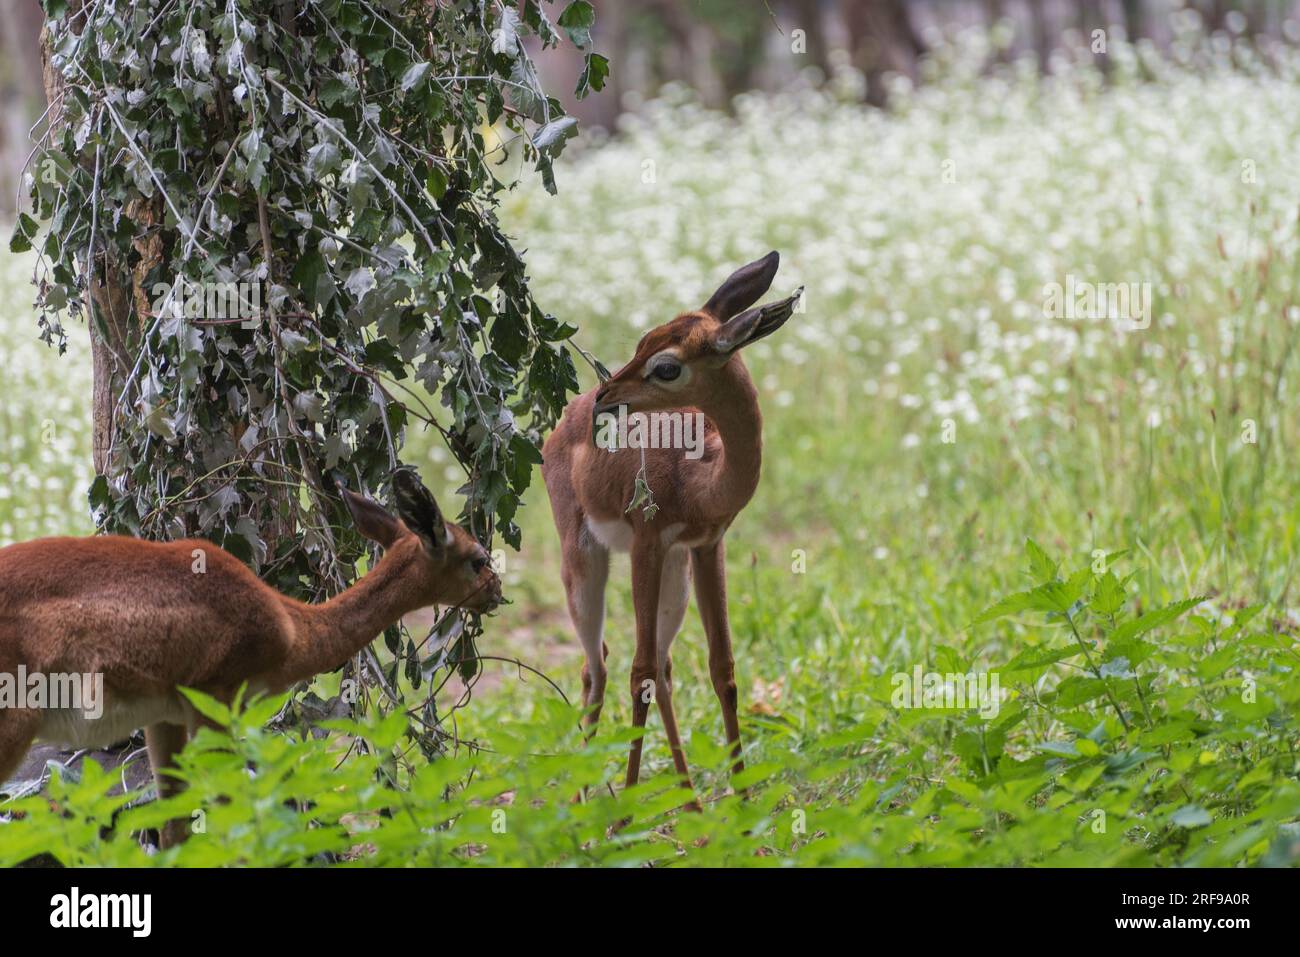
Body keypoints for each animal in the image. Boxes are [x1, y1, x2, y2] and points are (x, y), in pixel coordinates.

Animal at [0, 469, 500, 846]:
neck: (291, 630)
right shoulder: (217, 695)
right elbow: (230, 812)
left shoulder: (163, 714)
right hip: (16, 718)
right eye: (478, 558)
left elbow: (174, 825)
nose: (497, 593)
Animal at [542, 251, 801, 796]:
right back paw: (584, 798)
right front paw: (624, 810)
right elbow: (636, 669)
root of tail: (564, 419)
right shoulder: (647, 543)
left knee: (660, 667)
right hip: (584, 561)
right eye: (643, 339)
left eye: (666, 364)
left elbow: (721, 668)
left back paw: (690, 801)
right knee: (597, 665)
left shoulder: (705, 546)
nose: (606, 394)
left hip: (675, 576)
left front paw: (743, 801)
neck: (699, 477)